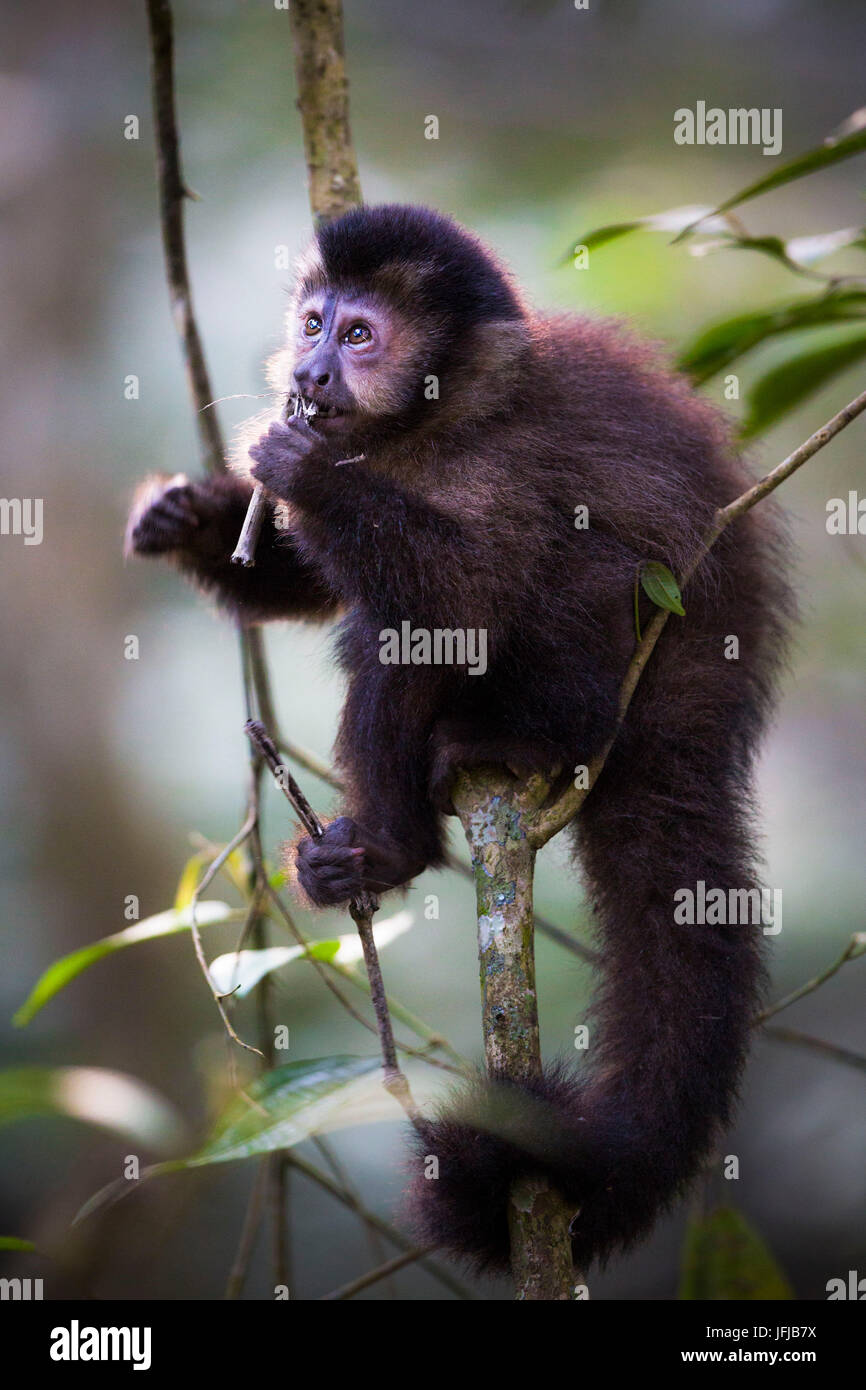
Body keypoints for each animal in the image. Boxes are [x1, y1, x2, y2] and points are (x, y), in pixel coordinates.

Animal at [126, 203, 792, 1273]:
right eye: (312, 322)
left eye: (359, 336)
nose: (310, 373)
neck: (435, 422)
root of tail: (709, 712)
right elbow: (316, 573)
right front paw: (185, 514)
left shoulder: (497, 462)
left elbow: (465, 595)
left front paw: (300, 471)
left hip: (649, 670)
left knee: (484, 606)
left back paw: (446, 802)